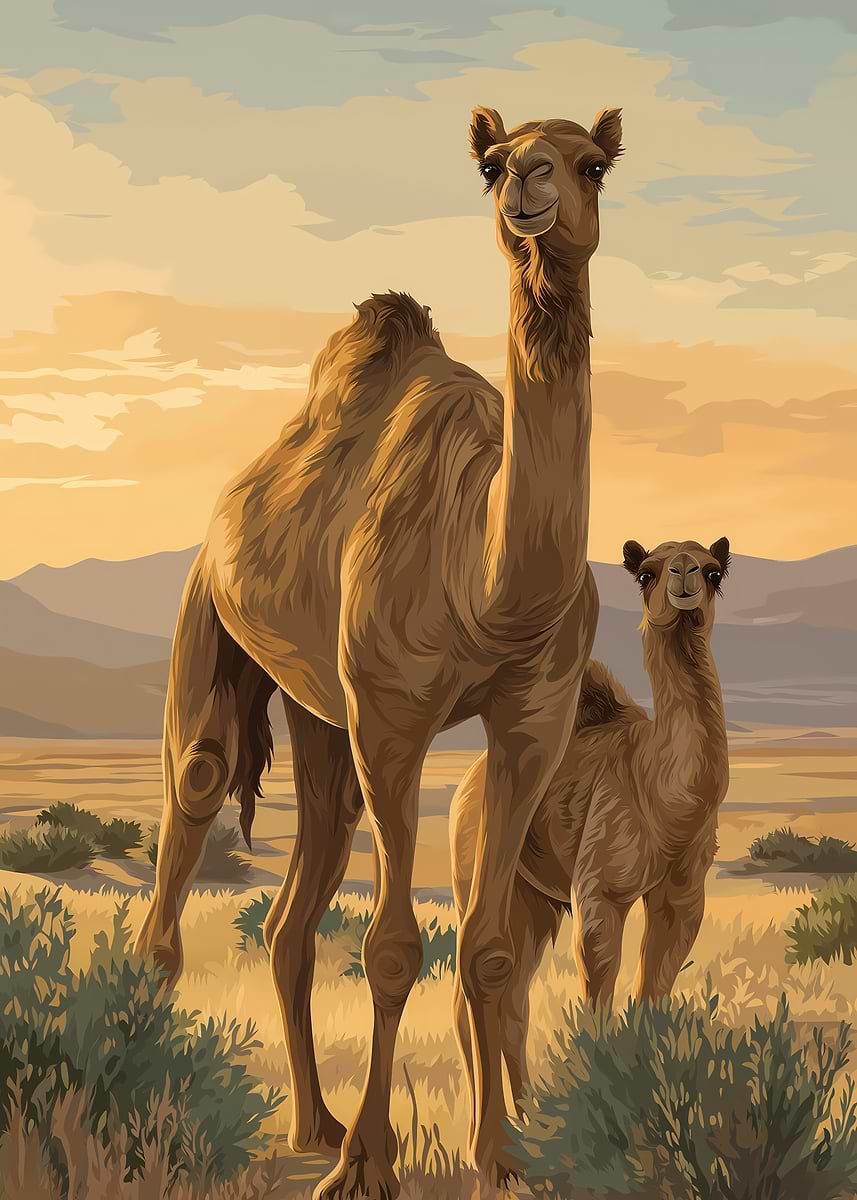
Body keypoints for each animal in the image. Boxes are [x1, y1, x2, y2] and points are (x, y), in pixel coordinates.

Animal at [134, 104, 623, 1198]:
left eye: (590, 165)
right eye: (492, 162)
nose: (526, 185)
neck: (488, 588)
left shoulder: (533, 719)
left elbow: (487, 952)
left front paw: (503, 1158)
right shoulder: (394, 718)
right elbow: (394, 946)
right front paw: (367, 1165)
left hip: (321, 712)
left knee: (295, 903)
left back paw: (311, 1120)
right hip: (210, 613)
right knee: (194, 791)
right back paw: (164, 1089)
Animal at [450, 536, 731, 1124]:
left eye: (716, 572)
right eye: (645, 572)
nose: (684, 575)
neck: (665, 797)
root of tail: (468, 781)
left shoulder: (682, 898)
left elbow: (653, 994)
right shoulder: (602, 891)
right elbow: (598, 998)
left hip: (535, 900)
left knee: (514, 997)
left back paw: (526, 1115)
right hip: (476, 869)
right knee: (472, 997)